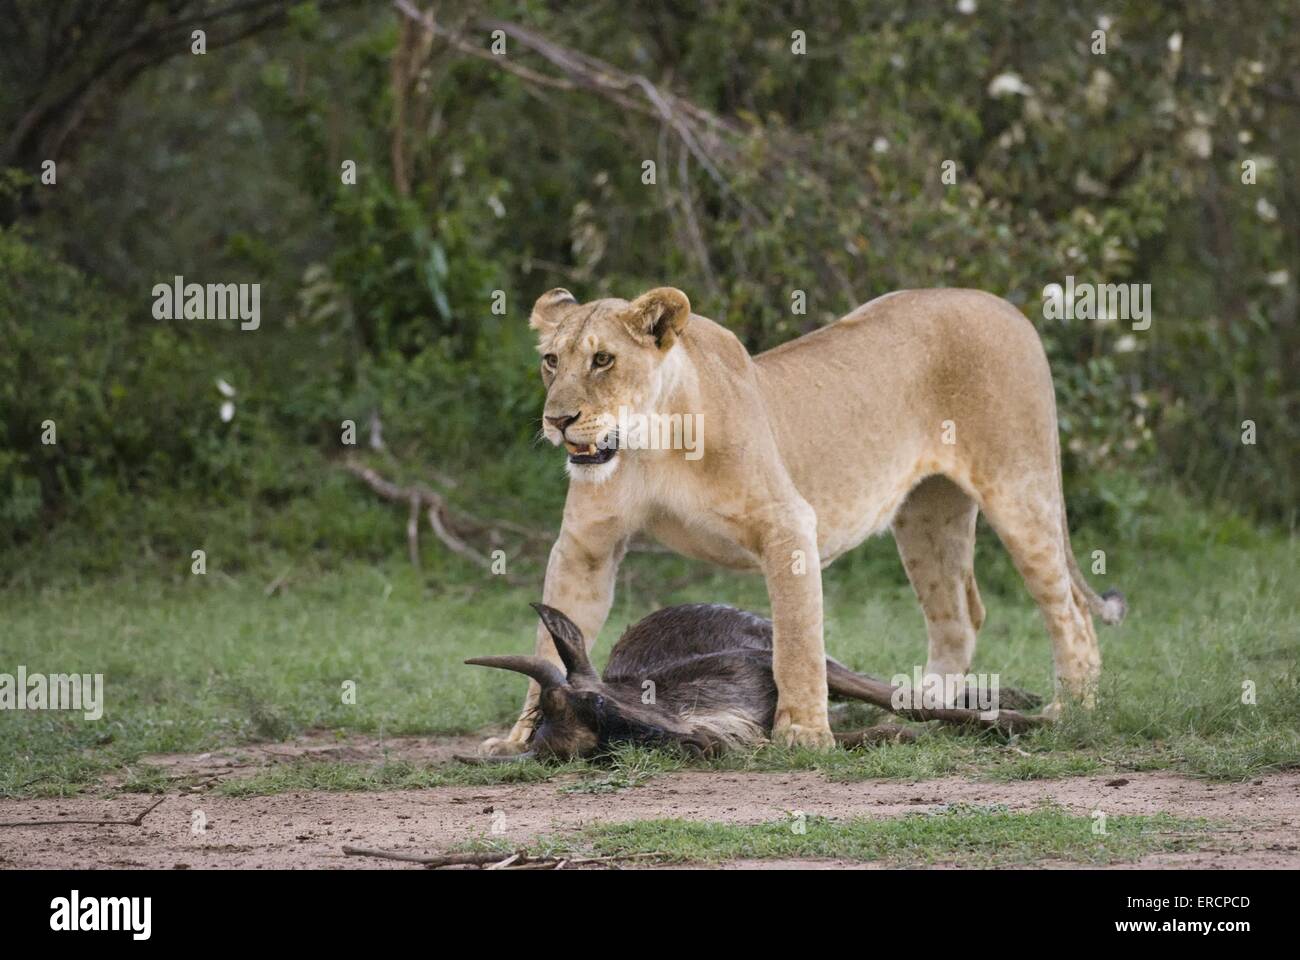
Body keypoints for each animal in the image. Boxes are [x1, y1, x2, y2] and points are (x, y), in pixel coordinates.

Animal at [481, 286, 1126, 755]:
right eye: (551, 361)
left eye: (603, 360)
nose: (559, 420)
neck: (650, 444)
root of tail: (1006, 308)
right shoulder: (585, 548)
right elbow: (550, 638)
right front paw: (518, 737)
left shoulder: (788, 524)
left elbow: (796, 639)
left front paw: (804, 732)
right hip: (927, 516)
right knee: (958, 617)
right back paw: (932, 698)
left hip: (1019, 490)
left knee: (1068, 613)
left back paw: (1071, 709)